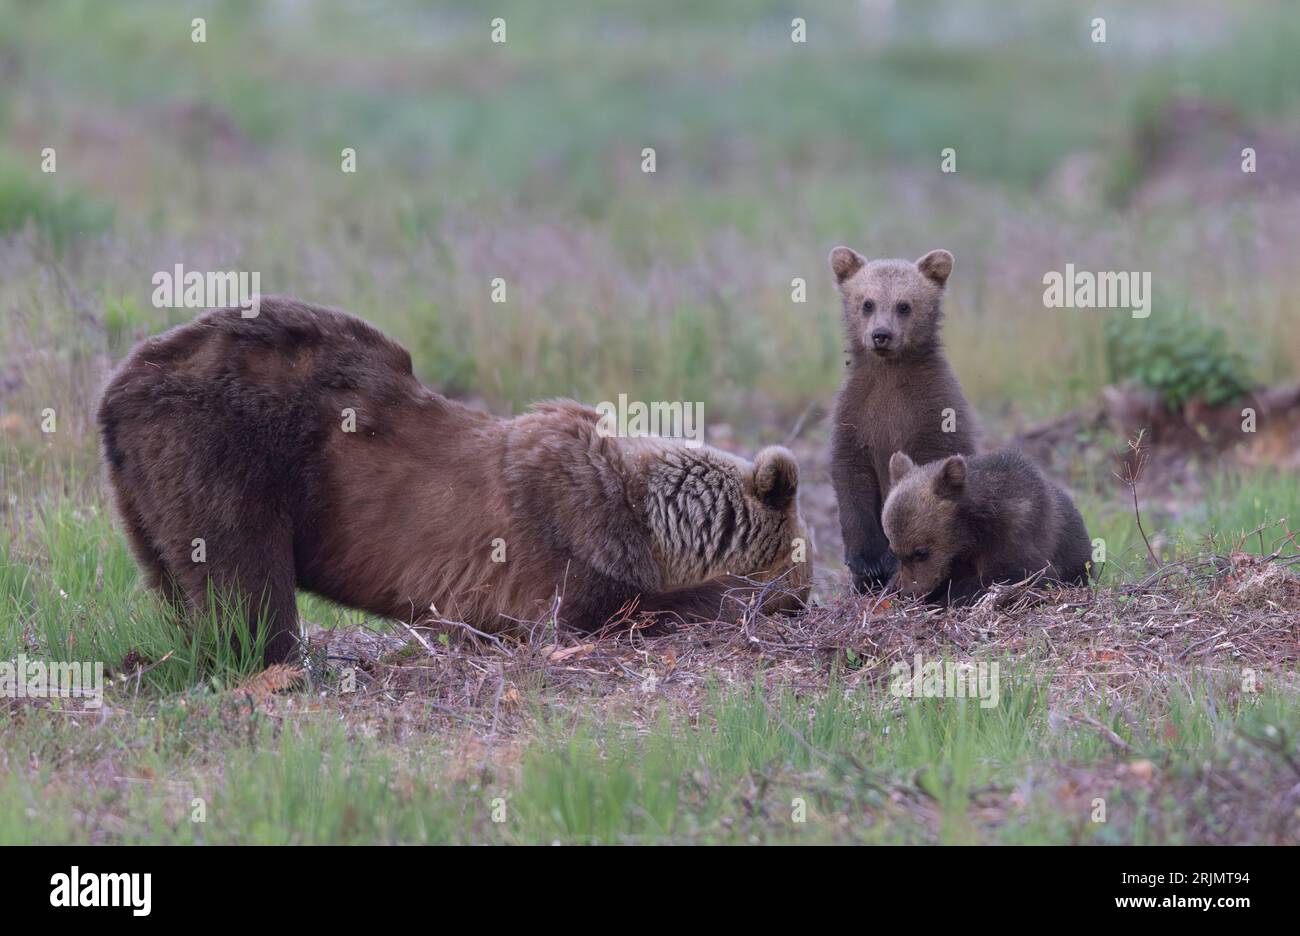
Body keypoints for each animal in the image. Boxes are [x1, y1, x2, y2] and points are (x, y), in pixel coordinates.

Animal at [97, 297, 812, 666]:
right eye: (801, 582)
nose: (804, 602)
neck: (652, 521)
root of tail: (121, 385)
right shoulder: (565, 548)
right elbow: (606, 613)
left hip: (145, 490)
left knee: (177, 579)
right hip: (222, 446)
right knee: (242, 576)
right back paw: (273, 656)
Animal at [827, 246, 976, 593]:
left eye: (904, 305)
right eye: (867, 302)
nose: (881, 335)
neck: (889, 371)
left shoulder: (933, 413)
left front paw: (891, 560)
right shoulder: (856, 415)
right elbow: (851, 478)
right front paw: (866, 562)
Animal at [881, 450, 1092, 605]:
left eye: (921, 552)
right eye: (894, 551)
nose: (909, 592)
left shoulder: (1014, 533)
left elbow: (1025, 574)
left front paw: (951, 596)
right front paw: (892, 586)